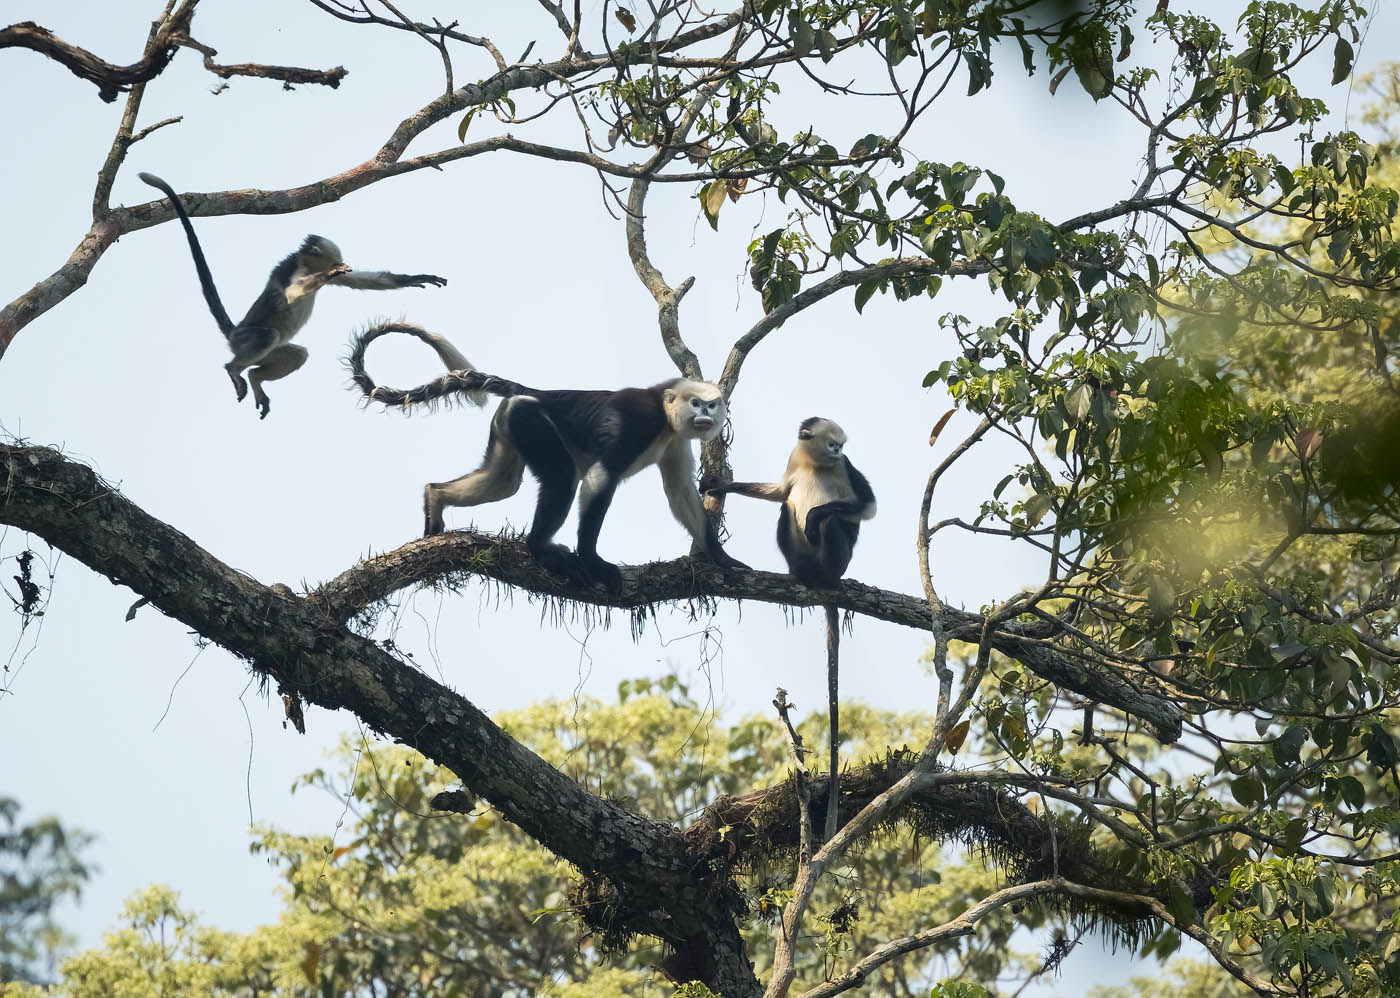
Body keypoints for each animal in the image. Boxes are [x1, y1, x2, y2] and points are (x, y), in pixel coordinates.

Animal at [139, 173, 448, 419]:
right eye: (335, 258)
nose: (340, 263)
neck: (305, 264)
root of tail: (234, 332)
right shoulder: (294, 271)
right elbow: (291, 293)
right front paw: (332, 272)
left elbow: (363, 280)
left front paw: (416, 278)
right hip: (248, 339)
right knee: (266, 337)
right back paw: (233, 369)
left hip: (274, 350)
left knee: (294, 356)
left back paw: (253, 377)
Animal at [346, 321, 749, 589]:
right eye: (697, 403)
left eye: (712, 405)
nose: (706, 414)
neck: (665, 415)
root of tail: (540, 393)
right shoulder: (642, 421)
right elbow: (600, 478)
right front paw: (590, 559)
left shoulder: (676, 440)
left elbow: (680, 493)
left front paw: (721, 558)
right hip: (529, 419)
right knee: (561, 477)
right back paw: (539, 548)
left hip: (510, 422)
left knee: (503, 482)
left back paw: (435, 498)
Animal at [708, 416, 875, 840]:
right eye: (831, 443)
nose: (837, 450)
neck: (817, 466)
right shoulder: (794, 463)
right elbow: (780, 492)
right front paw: (720, 486)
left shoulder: (848, 468)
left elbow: (867, 506)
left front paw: (816, 516)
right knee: (786, 509)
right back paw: (798, 573)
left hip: (838, 559)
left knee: (832, 521)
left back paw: (823, 565)